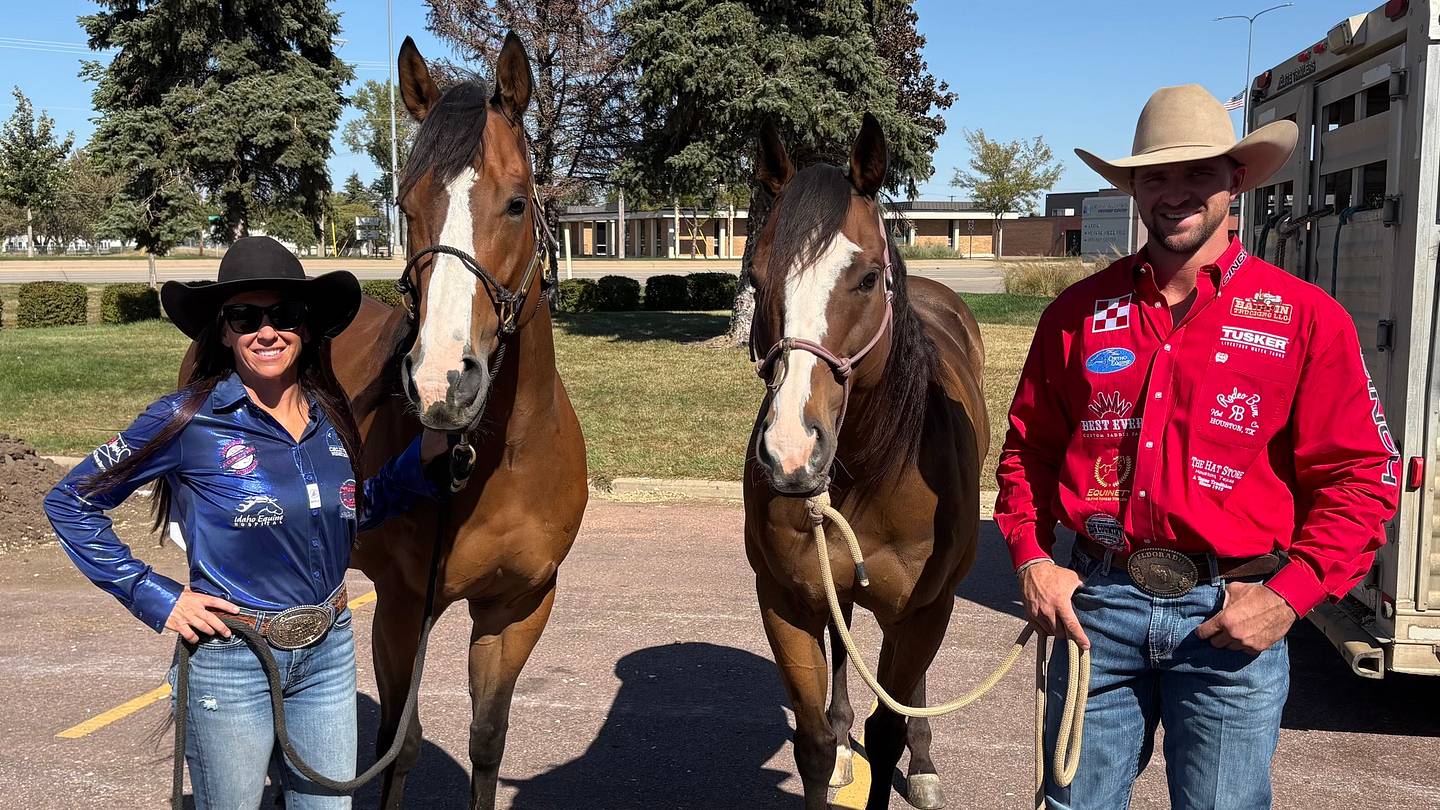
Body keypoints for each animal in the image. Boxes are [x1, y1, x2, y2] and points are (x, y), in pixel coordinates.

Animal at [334, 33, 588, 810]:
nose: (442, 379)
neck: (494, 457)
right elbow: (398, 746)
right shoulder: (401, 607)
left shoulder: (518, 607)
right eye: (404, 202)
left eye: (516, 202)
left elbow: (486, 741)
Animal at [743, 113, 989, 810]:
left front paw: (906, 757)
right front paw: (834, 753)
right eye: (756, 278)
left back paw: (924, 766)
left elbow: (889, 732)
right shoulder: (785, 602)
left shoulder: (924, 610)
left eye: (867, 278)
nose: (791, 451)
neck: (870, 470)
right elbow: (814, 741)